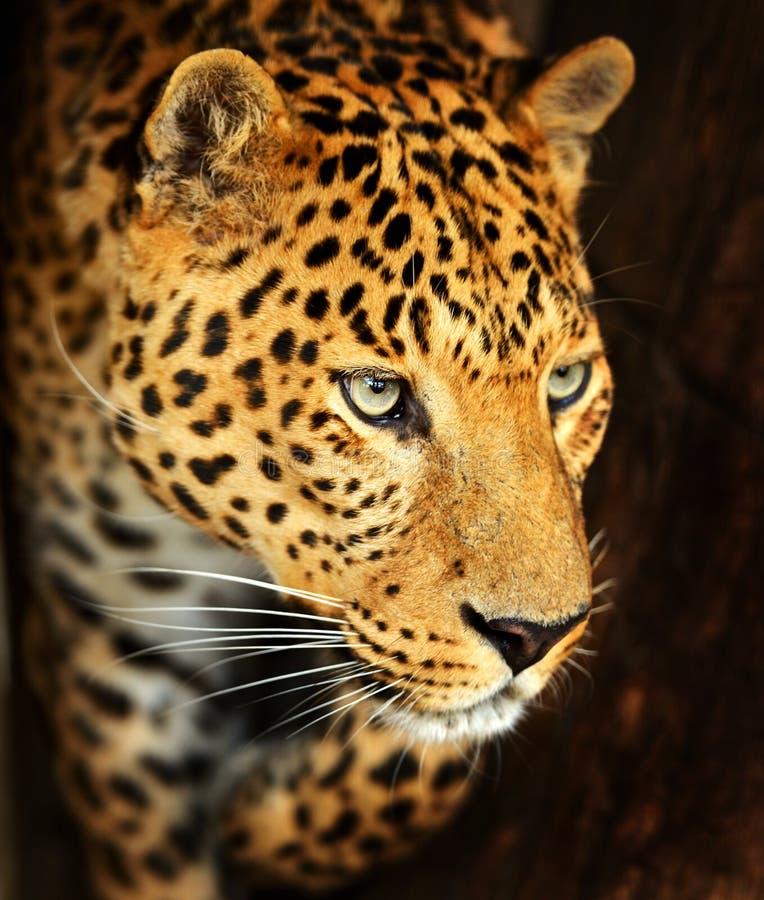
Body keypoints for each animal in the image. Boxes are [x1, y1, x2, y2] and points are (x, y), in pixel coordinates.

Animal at [1, 1, 634, 897]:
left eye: (568, 383)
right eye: (375, 395)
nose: (535, 637)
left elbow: (430, 749)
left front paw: (255, 817)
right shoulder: (117, 622)